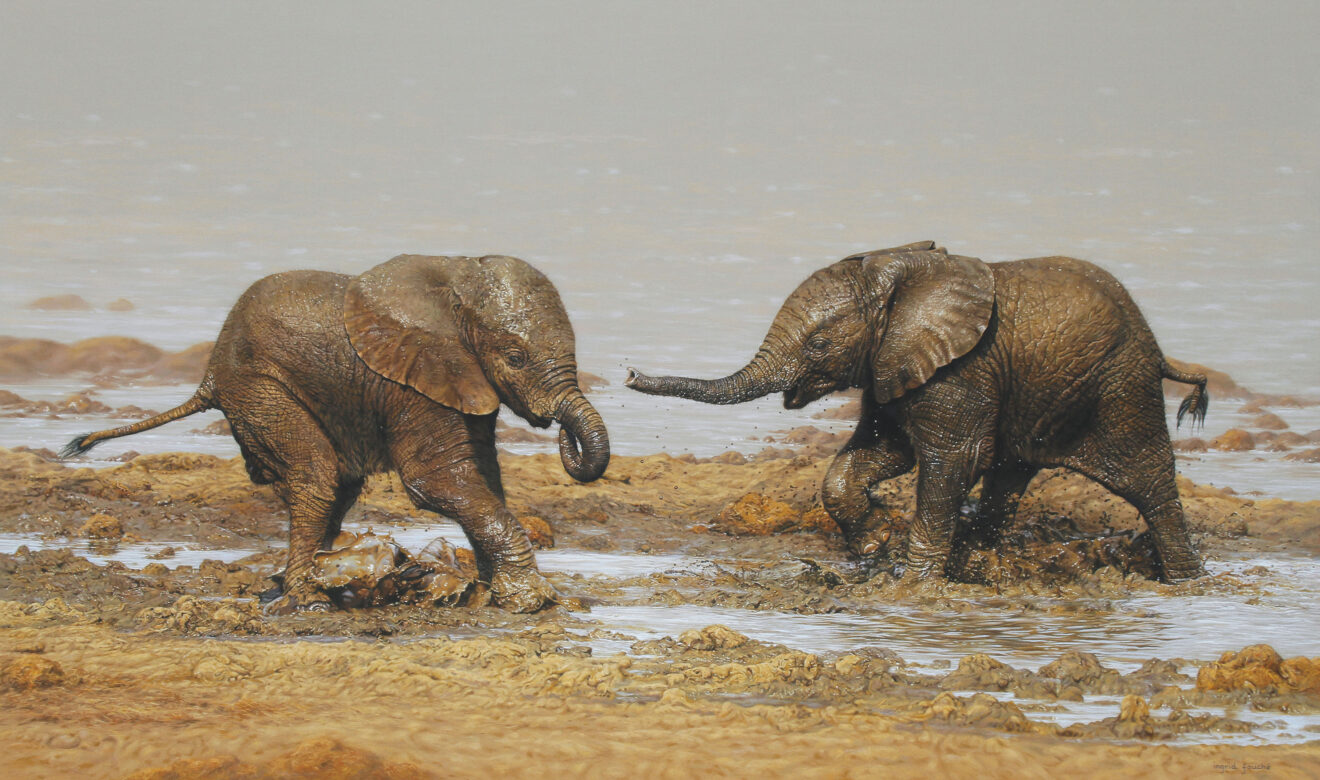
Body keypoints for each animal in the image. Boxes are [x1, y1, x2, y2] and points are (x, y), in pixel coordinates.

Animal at [63, 254, 609, 612]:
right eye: (515, 357)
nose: (561, 429)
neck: (452, 283)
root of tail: (209, 378)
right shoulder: (414, 380)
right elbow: (436, 482)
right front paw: (533, 600)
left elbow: (483, 478)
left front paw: (495, 592)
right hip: (260, 389)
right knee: (315, 476)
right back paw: (308, 599)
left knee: (337, 486)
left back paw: (314, 581)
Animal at [626, 241, 1207, 583]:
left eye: (818, 345)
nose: (629, 373)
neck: (900, 273)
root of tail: (1158, 351)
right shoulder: (893, 364)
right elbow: (880, 453)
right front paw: (876, 540)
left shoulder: (961, 369)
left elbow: (954, 461)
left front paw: (913, 575)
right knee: (1010, 475)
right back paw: (980, 556)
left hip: (1121, 387)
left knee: (1148, 479)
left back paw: (1184, 576)